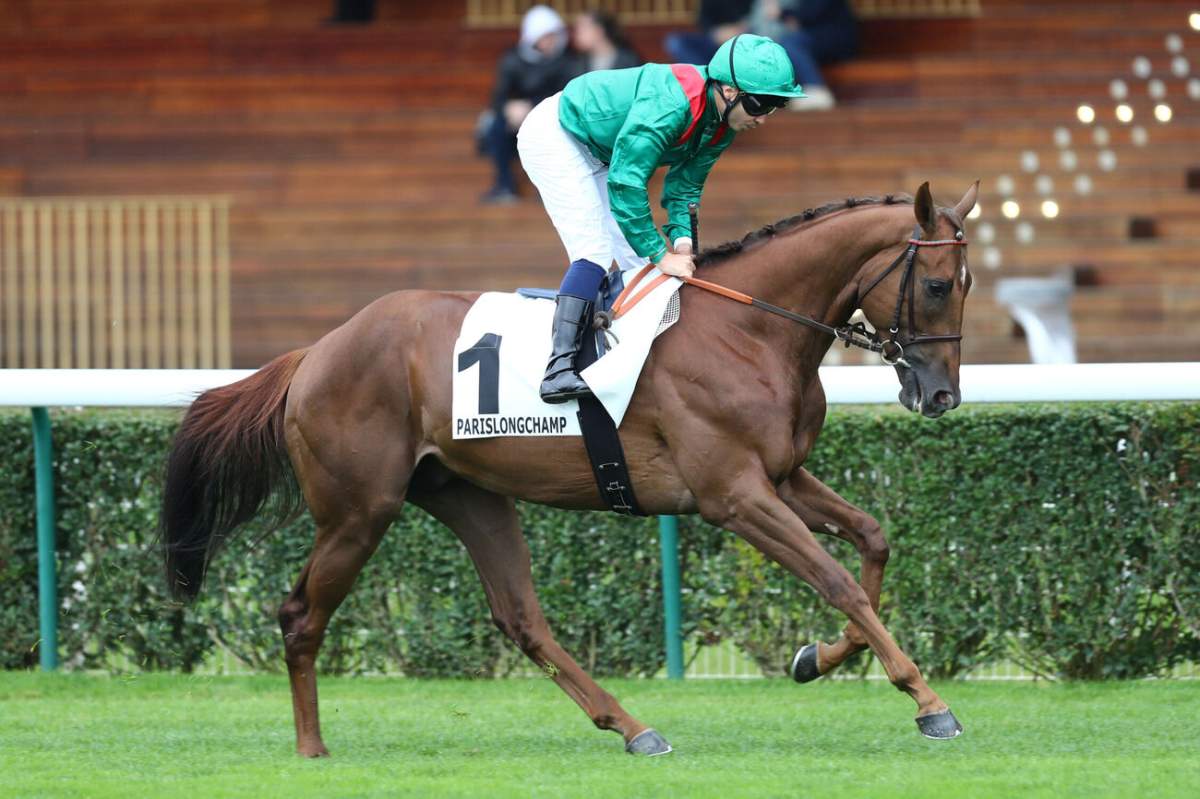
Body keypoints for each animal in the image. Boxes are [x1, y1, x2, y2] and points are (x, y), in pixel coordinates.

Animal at [161, 181, 979, 757]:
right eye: (939, 283)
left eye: (967, 284)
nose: (941, 395)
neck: (747, 328)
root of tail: (315, 352)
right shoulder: (734, 495)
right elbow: (837, 579)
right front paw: (929, 702)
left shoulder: (781, 478)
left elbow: (872, 540)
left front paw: (817, 657)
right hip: (360, 509)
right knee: (301, 614)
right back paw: (311, 746)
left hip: (469, 495)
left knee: (521, 618)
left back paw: (633, 726)